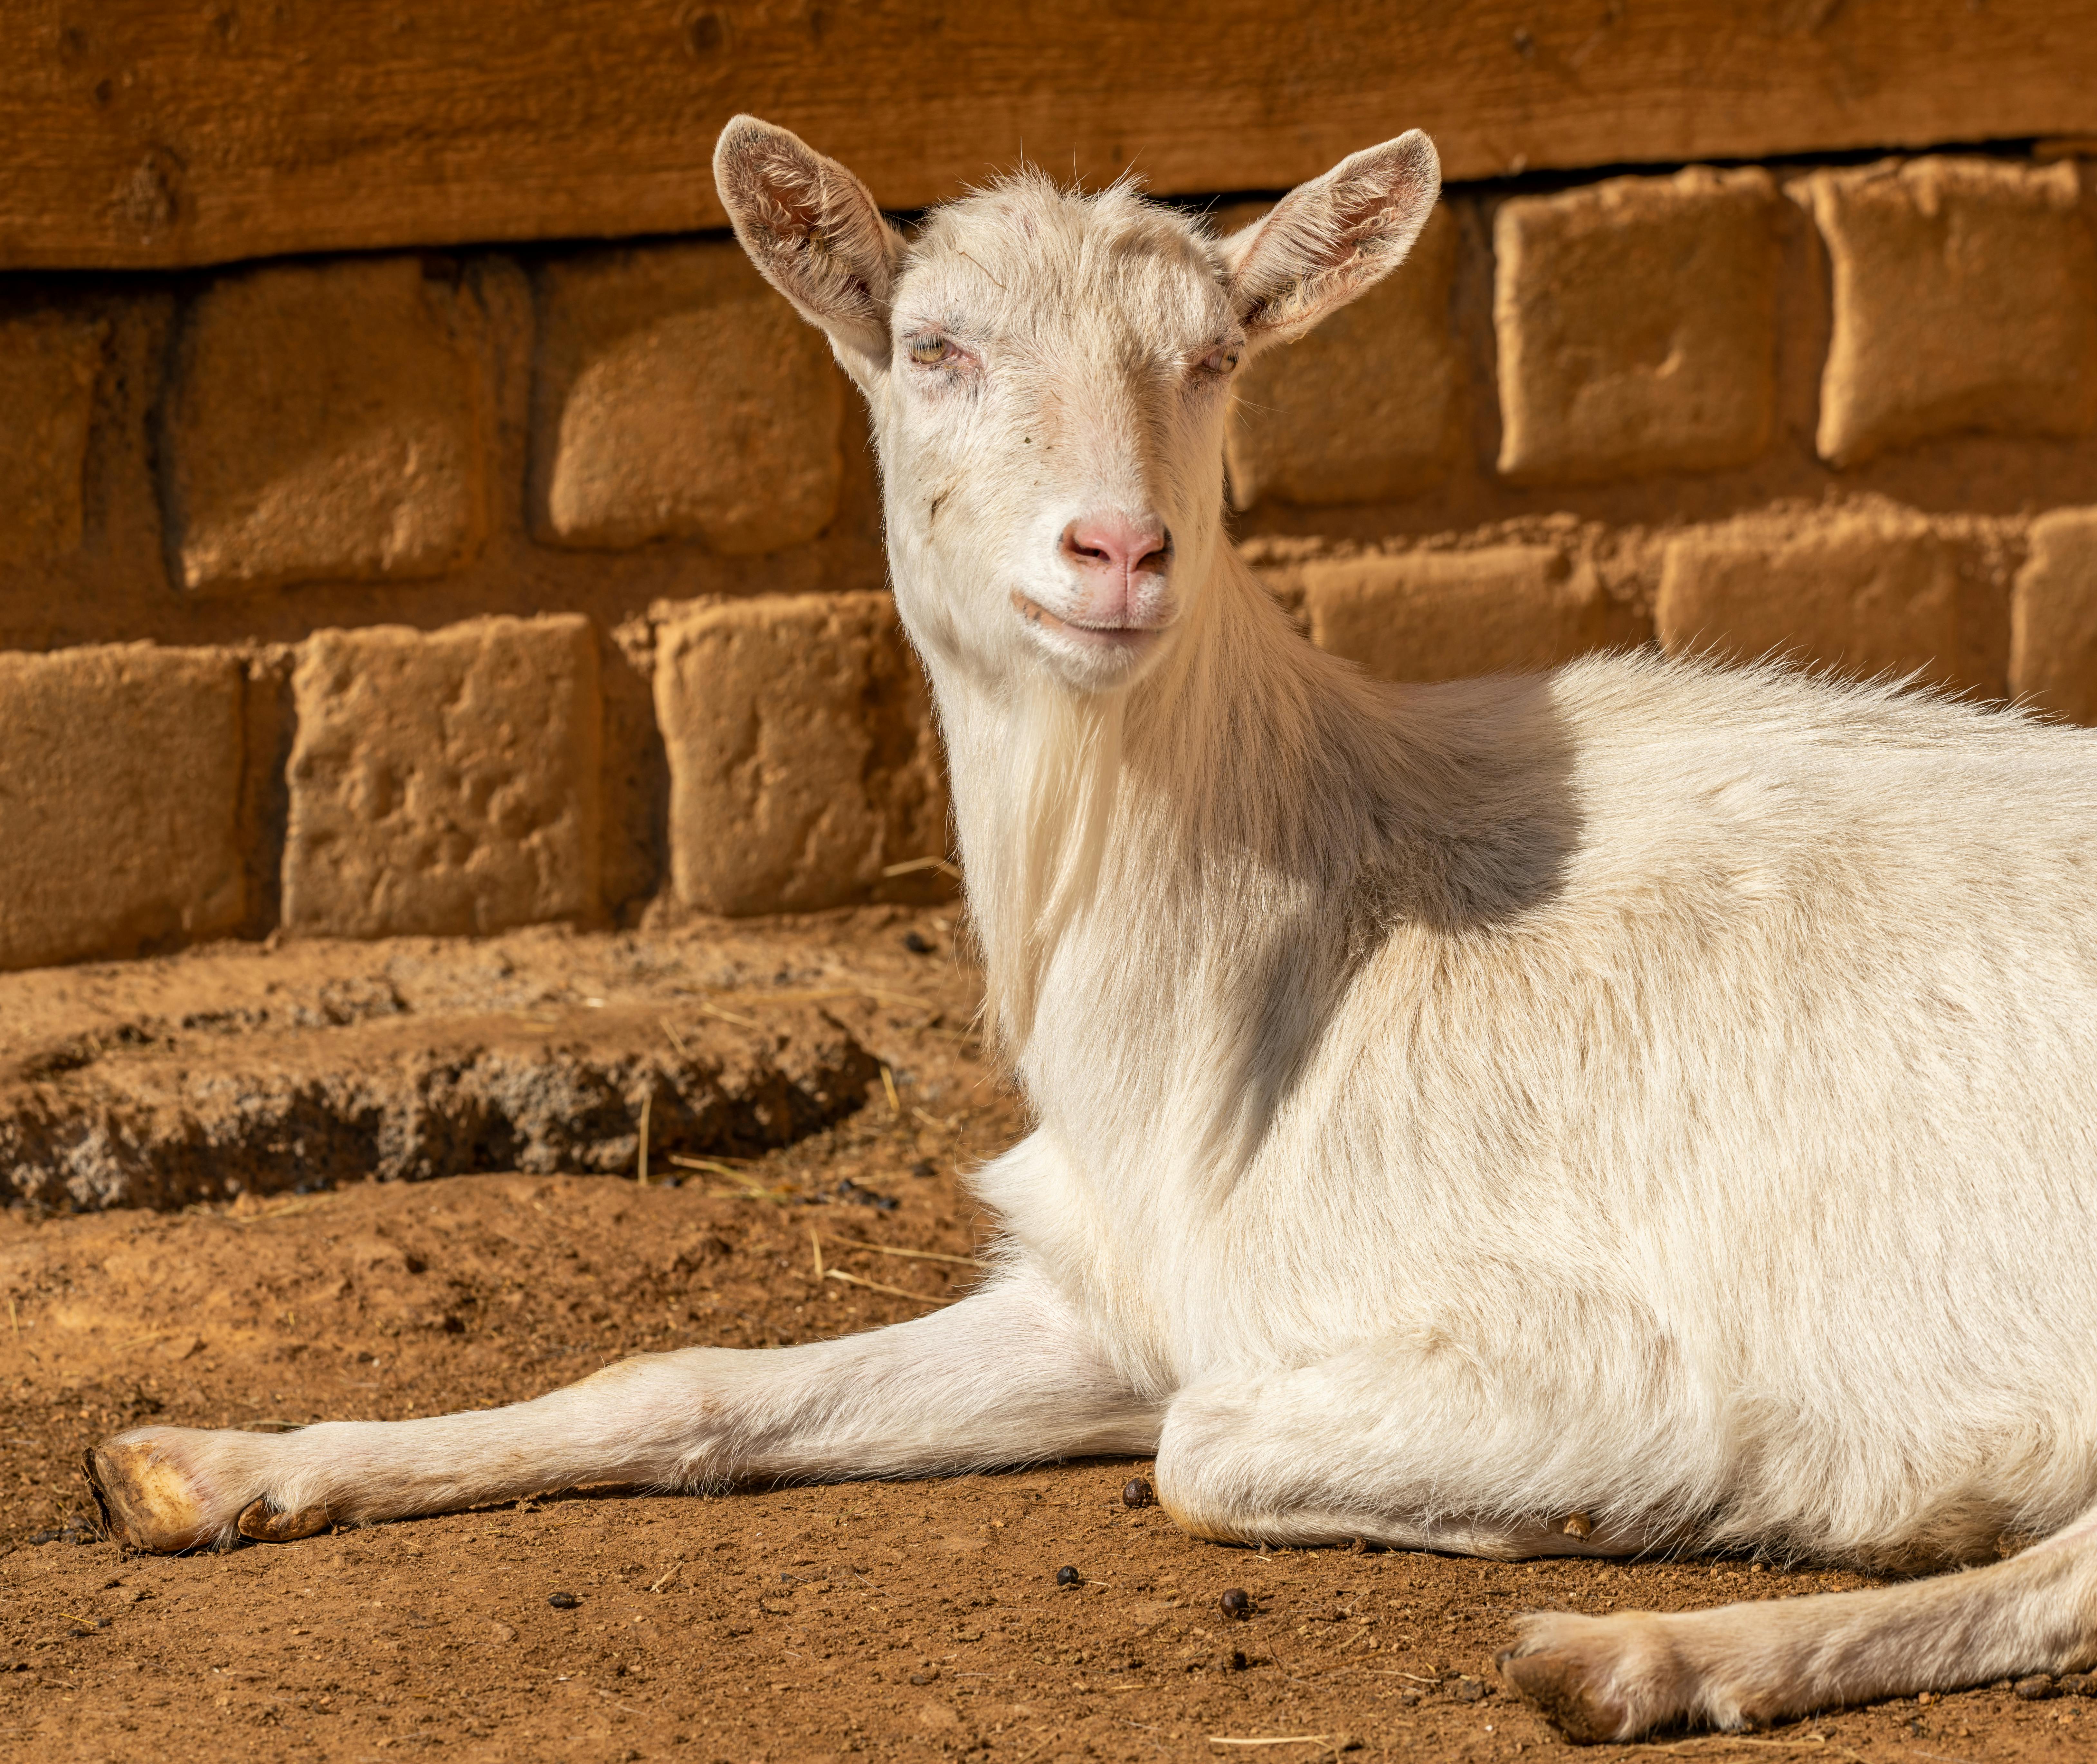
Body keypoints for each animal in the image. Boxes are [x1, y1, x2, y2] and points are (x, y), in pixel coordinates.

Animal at [89, 117, 2097, 1742]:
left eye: (1212, 358)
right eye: (932, 346)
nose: (1118, 553)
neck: (1278, 967)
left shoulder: (1580, 1335)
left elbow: (1209, 1450)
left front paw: (1791, 1488)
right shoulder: (1109, 1292)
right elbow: (686, 1382)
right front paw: (202, 1468)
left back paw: (1655, 1653)